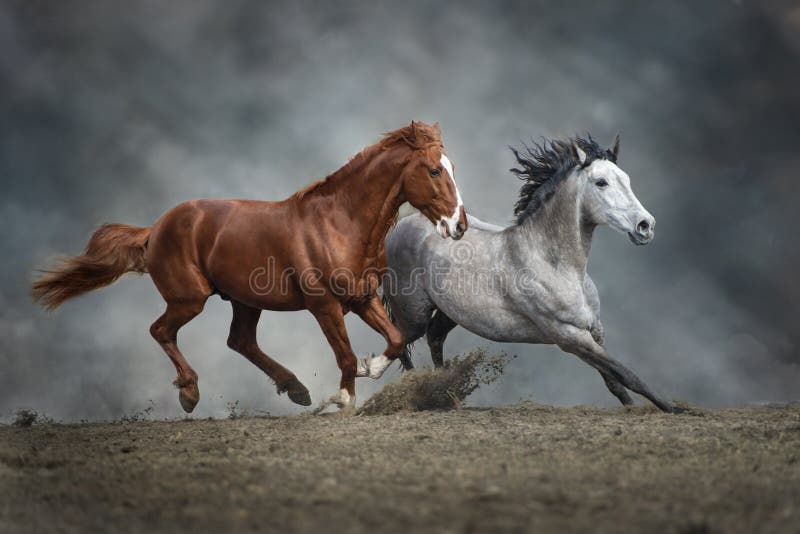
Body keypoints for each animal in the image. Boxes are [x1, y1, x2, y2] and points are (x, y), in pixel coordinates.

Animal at [32, 121, 468, 414]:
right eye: (434, 170)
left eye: (452, 167)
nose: (459, 225)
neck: (340, 222)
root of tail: (155, 229)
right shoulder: (324, 305)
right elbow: (344, 355)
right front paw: (343, 398)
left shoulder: (361, 298)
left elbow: (395, 339)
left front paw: (369, 367)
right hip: (189, 298)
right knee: (161, 331)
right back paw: (190, 394)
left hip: (244, 300)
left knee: (239, 341)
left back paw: (295, 389)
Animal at [383, 134, 678, 413]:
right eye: (601, 182)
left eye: (626, 179)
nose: (645, 226)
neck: (556, 265)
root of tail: (401, 226)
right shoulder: (567, 336)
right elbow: (625, 373)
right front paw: (672, 407)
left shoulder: (594, 328)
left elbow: (614, 379)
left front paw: (633, 406)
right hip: (413, 313)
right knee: (400, 344)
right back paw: (415, 393)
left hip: (450, 312)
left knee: (434, 336)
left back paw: (444, 392)